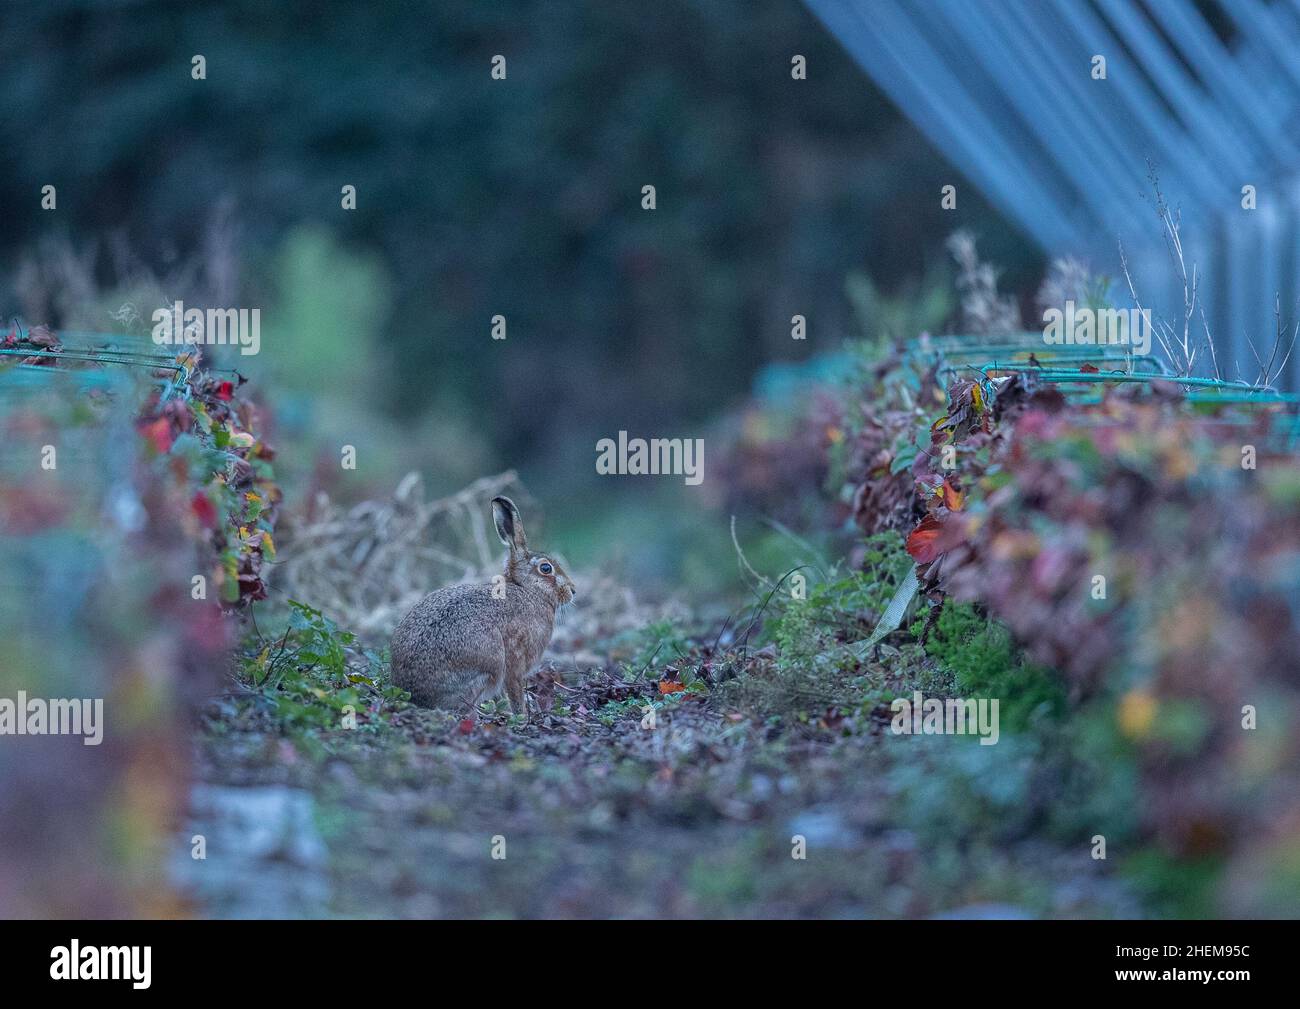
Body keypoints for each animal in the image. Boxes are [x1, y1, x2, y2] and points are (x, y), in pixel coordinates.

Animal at [390, 495, 576, 718]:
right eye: (546, 568)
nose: (573, 590)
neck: (527, 589)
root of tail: (413, 692)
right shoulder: (515, 660)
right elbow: (515, 689)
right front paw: (521, 715)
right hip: (489, 667)